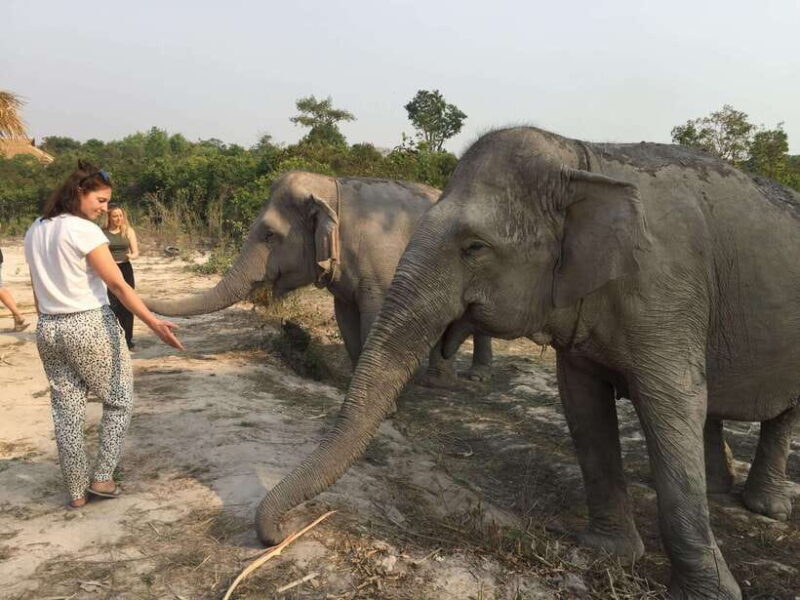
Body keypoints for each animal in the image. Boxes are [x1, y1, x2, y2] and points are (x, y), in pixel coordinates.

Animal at [146, 171, 493, 383]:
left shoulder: (381, 270)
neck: (331, 189)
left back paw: (463, 378)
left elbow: (373, 316)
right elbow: (346, 317)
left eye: (270, 235)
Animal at [255, 128, 800, 599]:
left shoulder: (667, 291)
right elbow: (582, 406)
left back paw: (767, 508)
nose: (280, 532)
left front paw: (708, 594)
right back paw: (721, 489)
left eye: (474, 247)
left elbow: (672, 403)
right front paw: (608, 551)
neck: (581, 158)